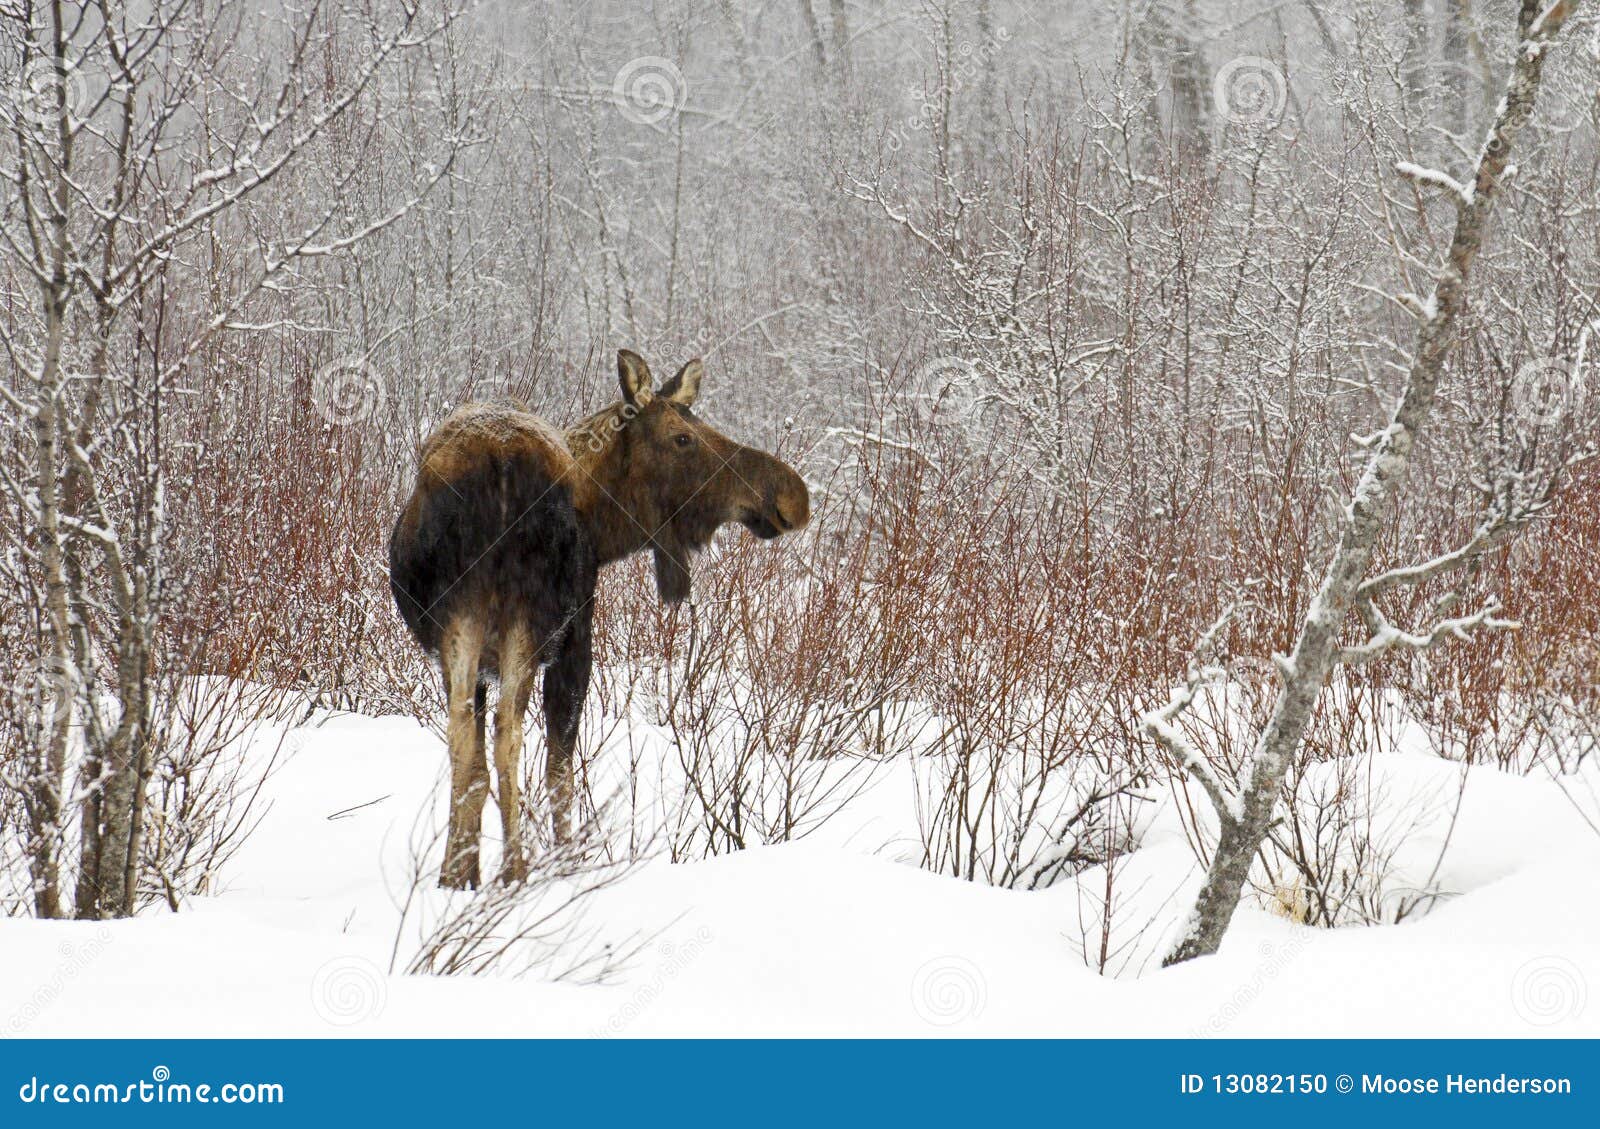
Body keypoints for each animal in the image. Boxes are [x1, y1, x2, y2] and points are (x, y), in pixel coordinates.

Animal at [388, 350, 810, 888]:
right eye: (682, 437)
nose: (793, 495)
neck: (603, 523)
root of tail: (499, 466)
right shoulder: (575, 639)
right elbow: (559, 768)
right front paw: (566, 865)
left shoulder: (470, 655)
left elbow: (478, 759)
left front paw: (463, 875)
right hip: (528, 619)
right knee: (509, 735)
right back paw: (516, 871)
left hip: (461, 621)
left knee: (464, 740)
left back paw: (459, 876)